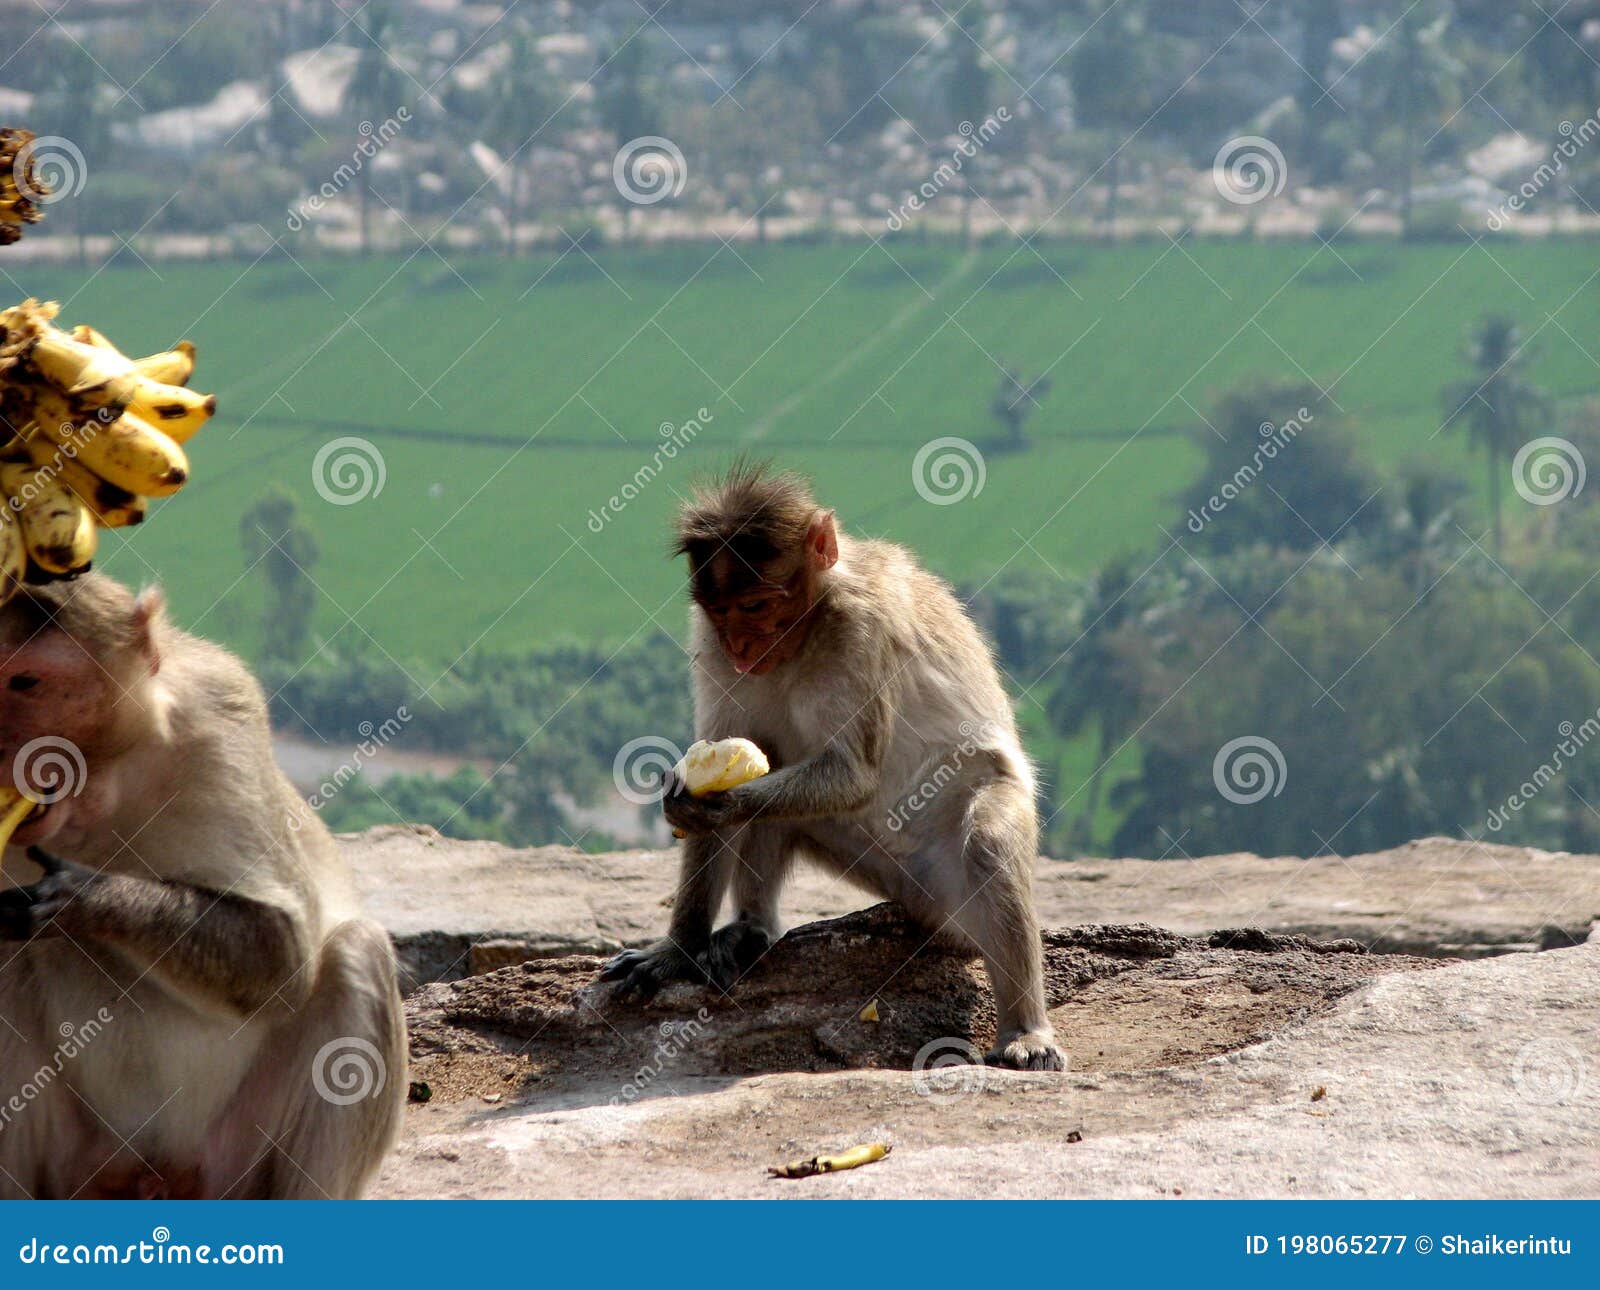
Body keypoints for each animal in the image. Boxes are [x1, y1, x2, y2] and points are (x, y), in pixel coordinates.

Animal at [0, 575, 405, 1199]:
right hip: (72, 1165)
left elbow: (282, 954)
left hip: (235, 1161)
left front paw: (79, 899)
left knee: (355, 954)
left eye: (27, 681)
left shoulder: (219, 713)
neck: (98, 798)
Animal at [604, 464, 1065, 1071]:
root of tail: (930, 907)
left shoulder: (861, 630)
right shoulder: (708, 642)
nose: (739, 645)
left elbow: (853, 774)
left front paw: (715, 804)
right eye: (720, 612)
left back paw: (1025, 1030)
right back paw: (753, 931)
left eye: (754, 606)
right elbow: (739, 752)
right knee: (778, 774)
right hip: (880, 869)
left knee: (986, 842)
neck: (809, 627)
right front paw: (678, 950)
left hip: (955, 888)